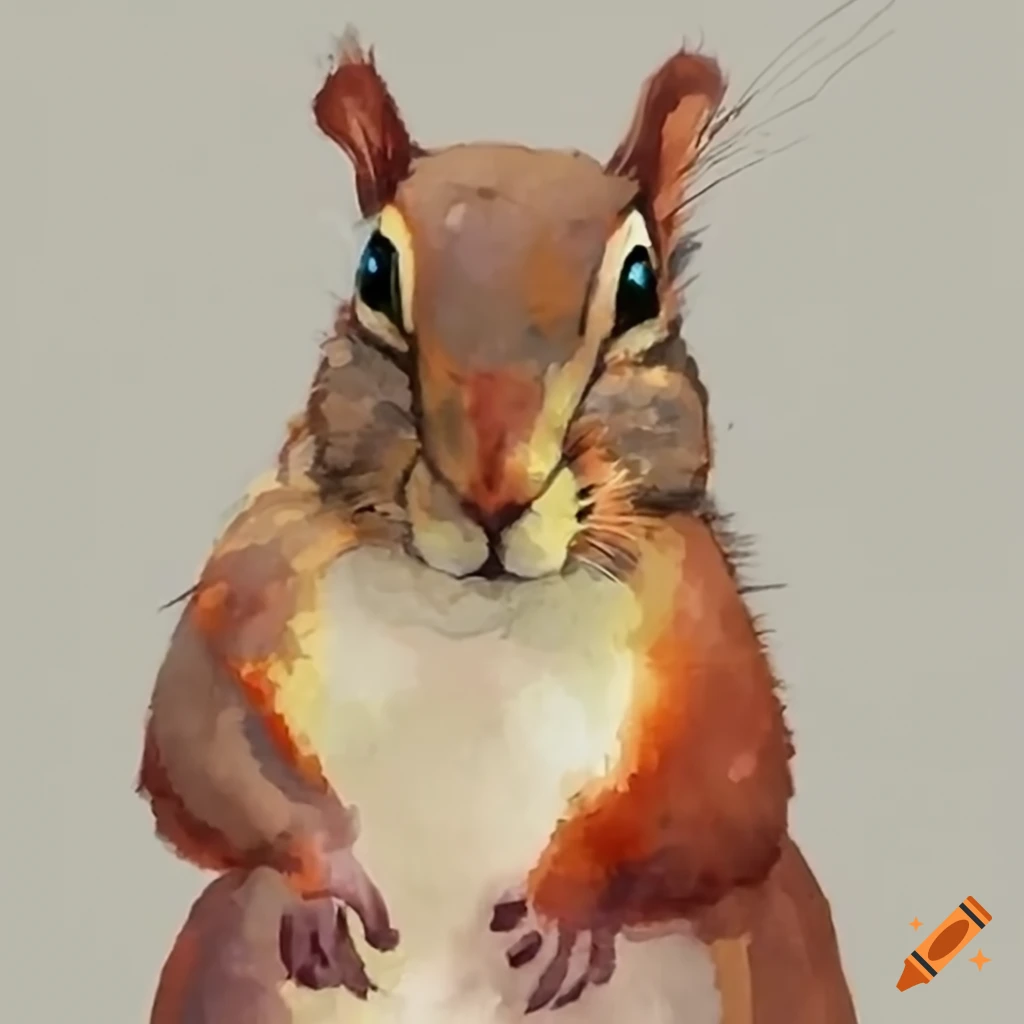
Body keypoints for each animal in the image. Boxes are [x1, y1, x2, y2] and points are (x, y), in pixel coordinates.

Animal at [139, 27, 859, 1024]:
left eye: (641, 284)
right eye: (374, 274)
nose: (490, 492)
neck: (475, 611)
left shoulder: (704, 622)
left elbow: (730, 793)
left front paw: (566, 903)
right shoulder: (255, 572)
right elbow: (193, 735)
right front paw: (323, 879)